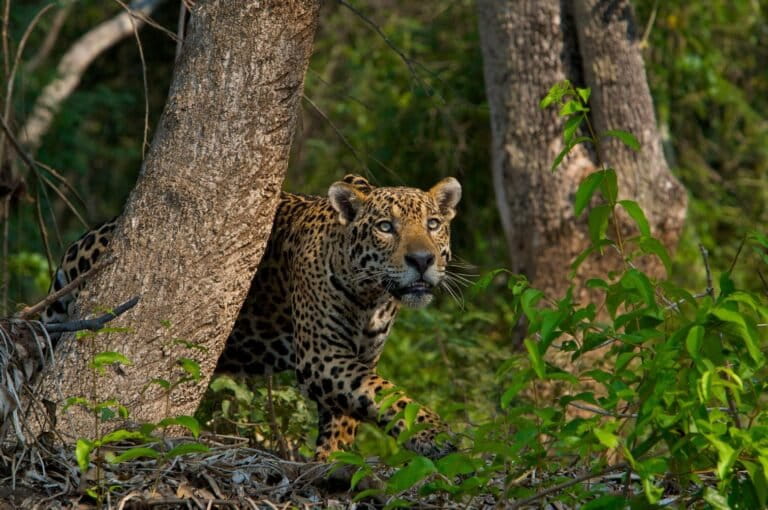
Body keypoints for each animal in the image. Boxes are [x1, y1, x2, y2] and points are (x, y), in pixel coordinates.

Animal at [42, 174, 462, 461]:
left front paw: (333, 462)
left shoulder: (360, 357)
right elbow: (387, 396)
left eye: (433, 224)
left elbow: (349, 414)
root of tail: (86, 239)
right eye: (385, 227)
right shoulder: (322, 356)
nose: (422, 260)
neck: (372, 296)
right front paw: (436, 435)